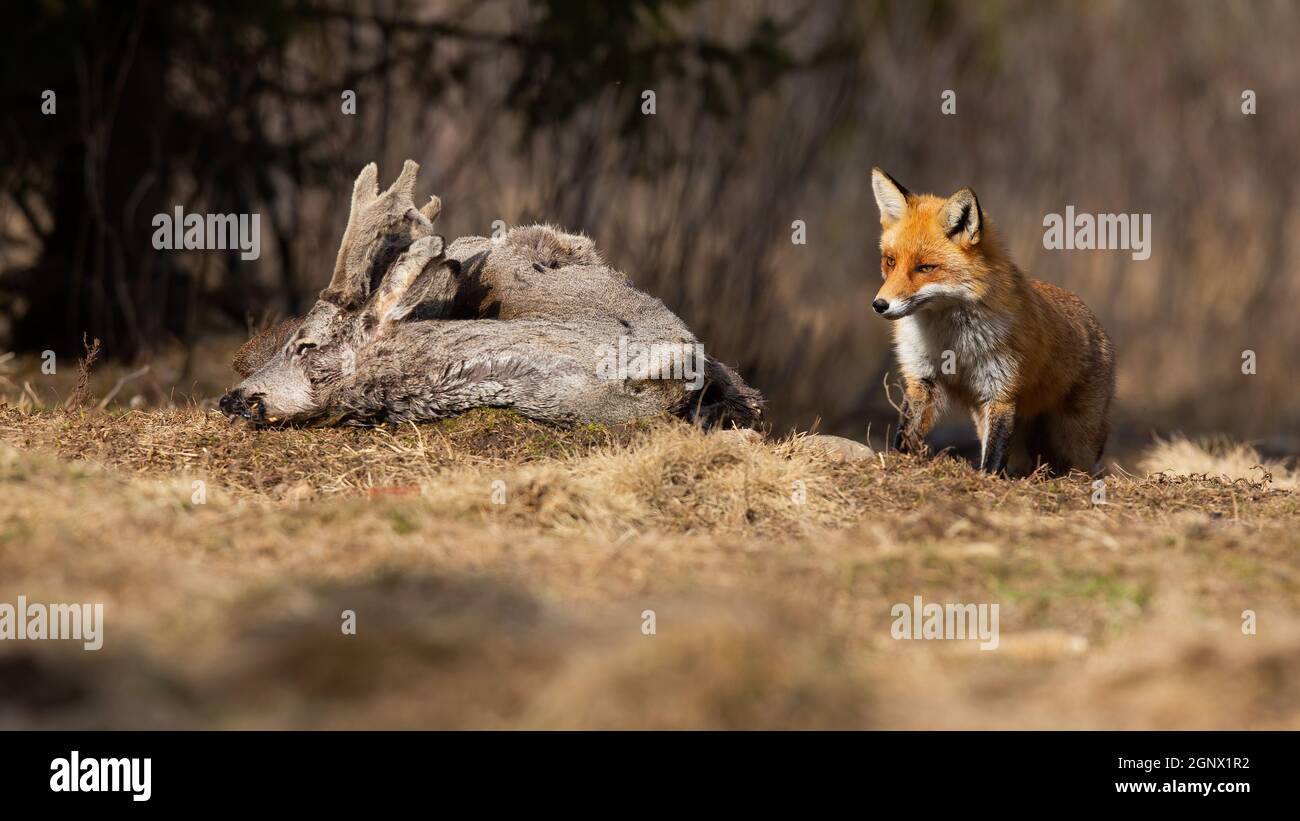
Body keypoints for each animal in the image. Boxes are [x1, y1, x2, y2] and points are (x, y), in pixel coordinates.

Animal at [869, 168, 1115, 476]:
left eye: (925, 268)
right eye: (890, 261)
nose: (880, 305)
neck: (950, 341)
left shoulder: (1000, 391)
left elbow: (994, 456)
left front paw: (985, 480)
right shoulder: (922, 379)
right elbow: (905, 434)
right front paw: (897, 464)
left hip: (1075, 439)